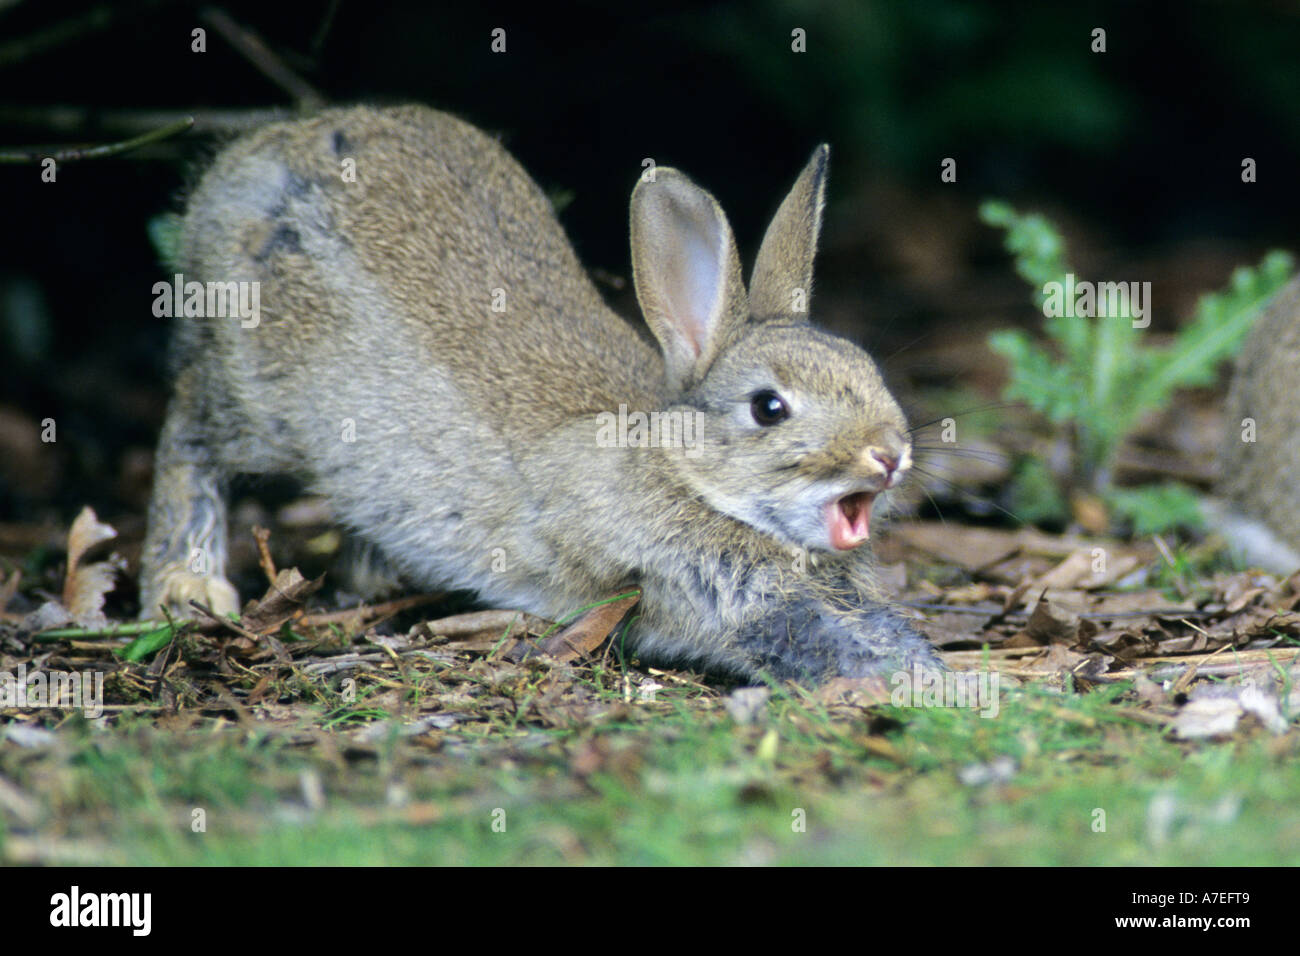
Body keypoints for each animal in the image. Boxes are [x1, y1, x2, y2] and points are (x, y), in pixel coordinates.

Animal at [139, 104, 944, 683]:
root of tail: (251, 161)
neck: (688, 474)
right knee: (189, 431)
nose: (890, 455)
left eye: (867, 367)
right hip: (259, 397)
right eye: (768, 408)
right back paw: (186, 586)